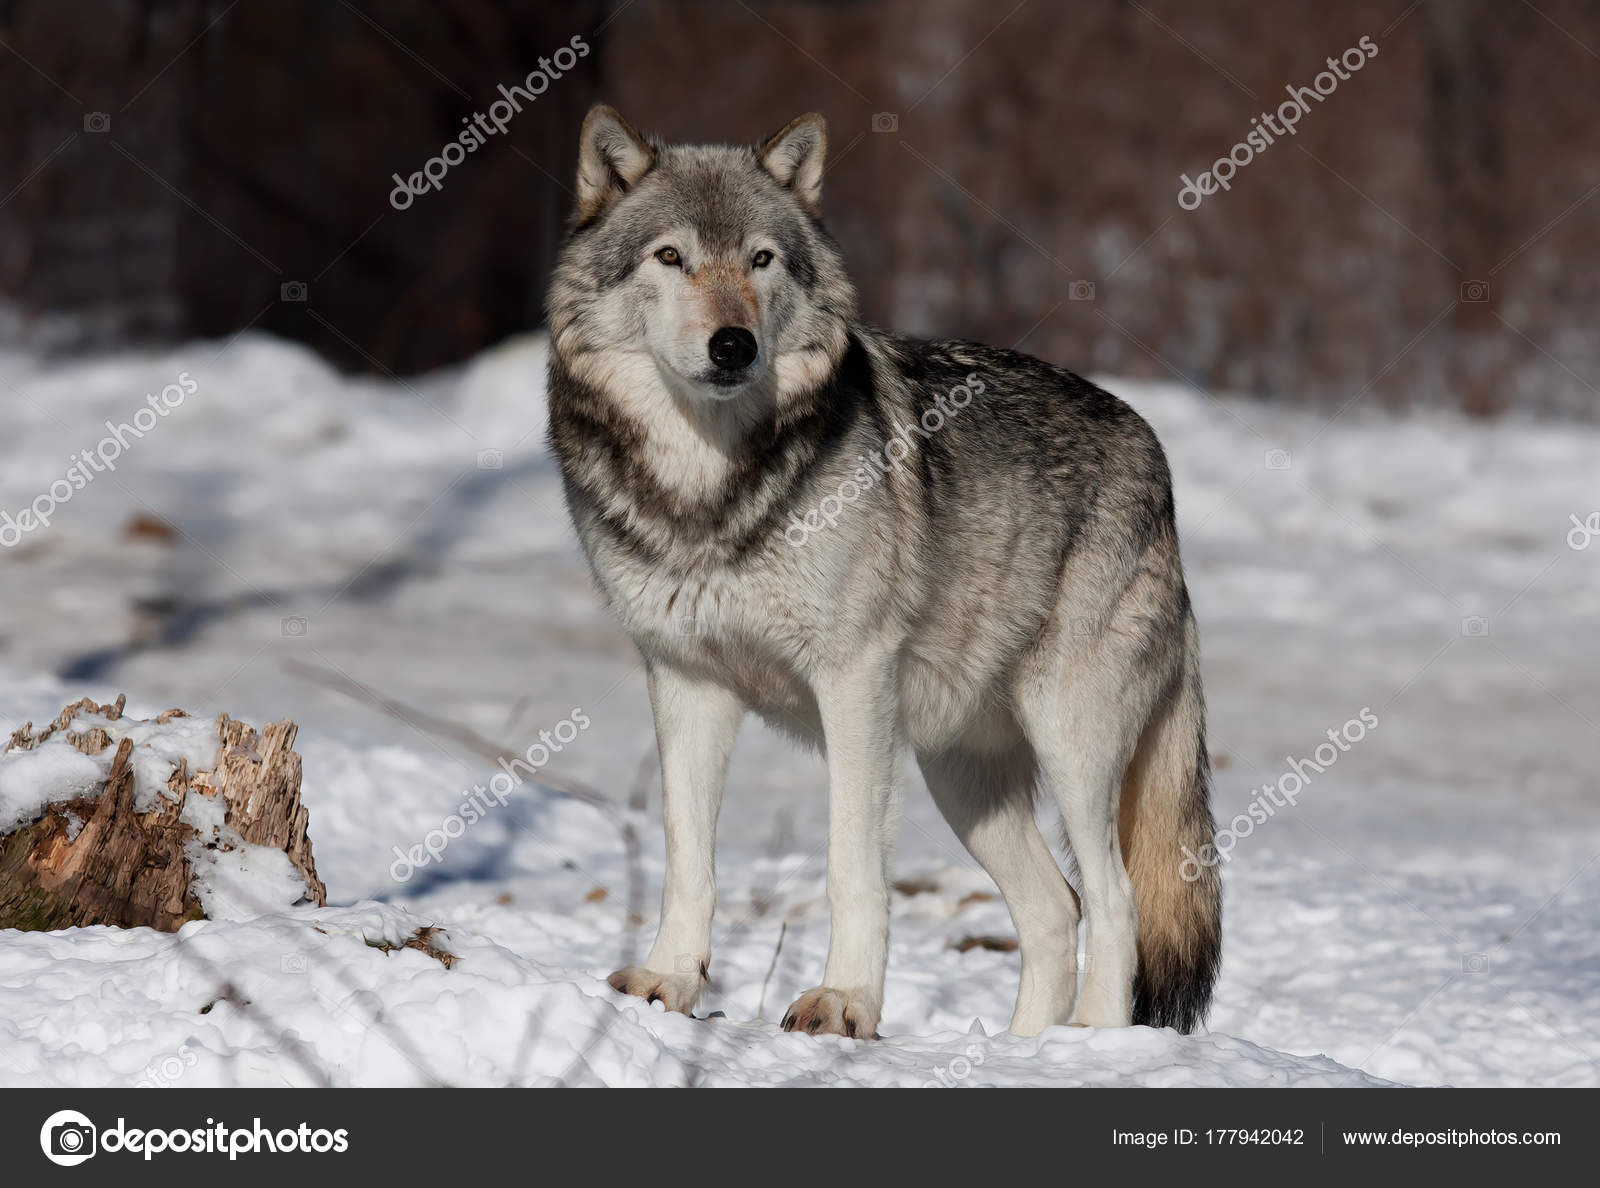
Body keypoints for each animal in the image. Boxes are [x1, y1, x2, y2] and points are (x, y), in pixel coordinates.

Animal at [546, 106, 1221, 1039]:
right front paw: (669, 981)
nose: (733, 345)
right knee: (1057, 909)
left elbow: (850, 866)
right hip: (959, 775)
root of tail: (1155, 457)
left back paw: (1088, 1042)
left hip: (1068, 741)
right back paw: (1024, 1051)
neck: (710, 493)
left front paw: (845, 1002)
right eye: (670, 257)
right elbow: (689, 858)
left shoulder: (853, 681)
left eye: (762, 260)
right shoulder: (686, 681)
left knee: (1114, 901)